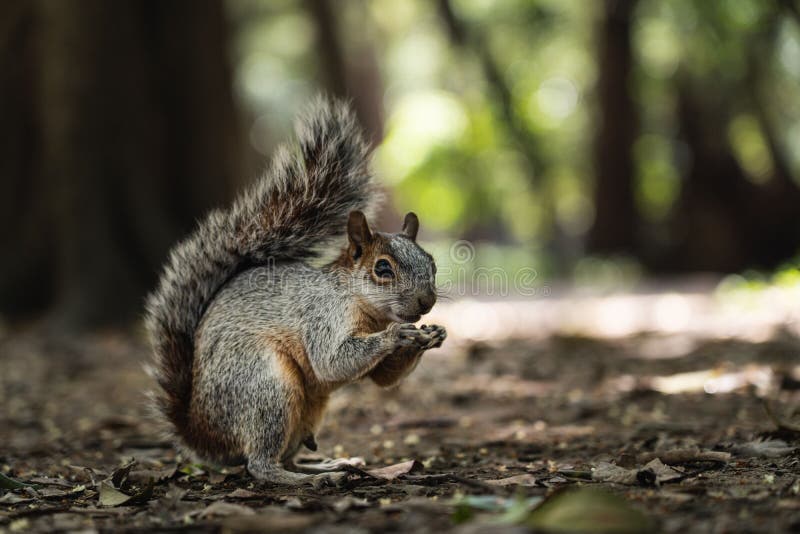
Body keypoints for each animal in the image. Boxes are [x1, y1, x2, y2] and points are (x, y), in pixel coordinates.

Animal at [145, 98, 446, 485]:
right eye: (382, 269)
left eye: (432, 263)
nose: (427, 302)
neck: (365, 308)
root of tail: (202, 430)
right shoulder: (321, 315)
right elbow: (331, 361)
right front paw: (398, 334)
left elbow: (383, 378)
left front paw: (432, 335)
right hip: (267, 387)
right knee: (261, 464)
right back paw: (308, 479)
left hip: (308, 410)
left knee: (288, 456)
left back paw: (327, 465)